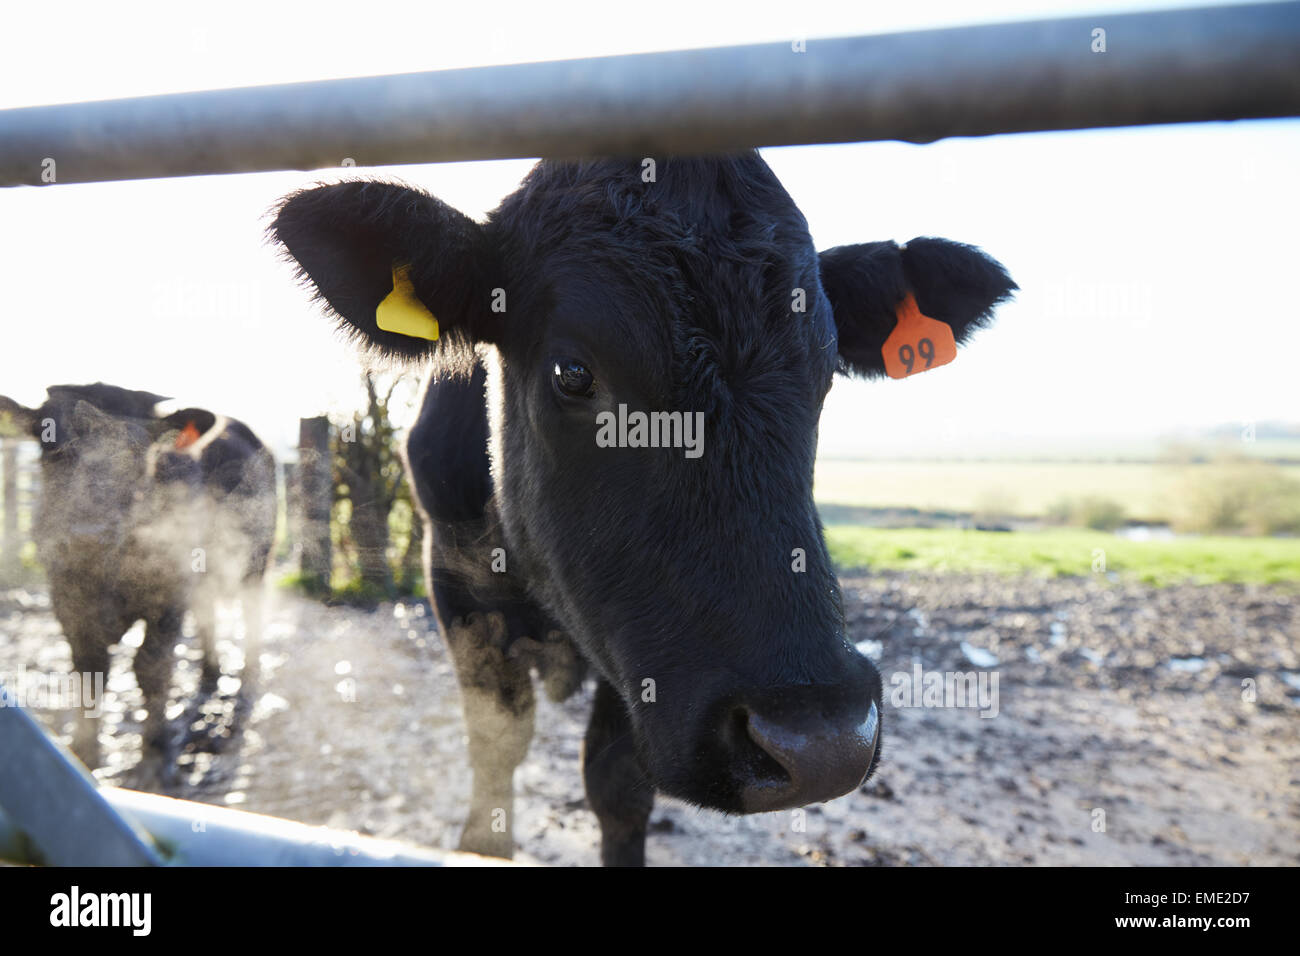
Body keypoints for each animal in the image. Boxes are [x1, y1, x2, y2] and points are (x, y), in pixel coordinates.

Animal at [0, 383, 277, 785]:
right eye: (48, 443)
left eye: (138, 454)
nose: (87, 531)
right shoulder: (68, 602)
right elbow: (90, 670)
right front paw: (84, 754)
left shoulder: (169, 595)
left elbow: (151, 668)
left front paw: (155, 757)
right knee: (207, 612)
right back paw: (210, 675)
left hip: (254, 560)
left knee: (251, 614)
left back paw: (246, 687)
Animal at [270, 152, 1015, 865]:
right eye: (573, 373)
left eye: (826, 373)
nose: (822, 742)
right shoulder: (455, 586)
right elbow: (496, 748)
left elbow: (618, 784)